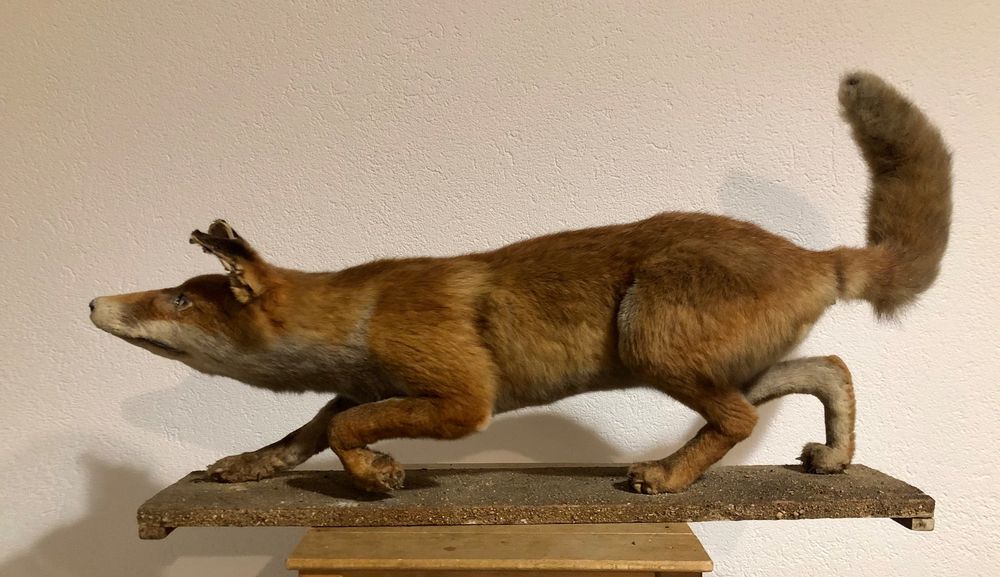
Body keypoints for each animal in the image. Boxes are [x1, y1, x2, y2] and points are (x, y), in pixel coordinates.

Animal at [90, 72, 951, 495]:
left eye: (179, 298)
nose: (95, 301)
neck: (363, 312)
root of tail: (813, 255)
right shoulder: (364, 386)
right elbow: (301, 436)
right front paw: (240, 467)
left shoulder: (460, 397)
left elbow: (342, 433)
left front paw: (379, 477)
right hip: (713, 360)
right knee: (827, 368)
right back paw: (834, 457)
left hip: (652, 338)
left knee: (740, 418)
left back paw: (666, 476)